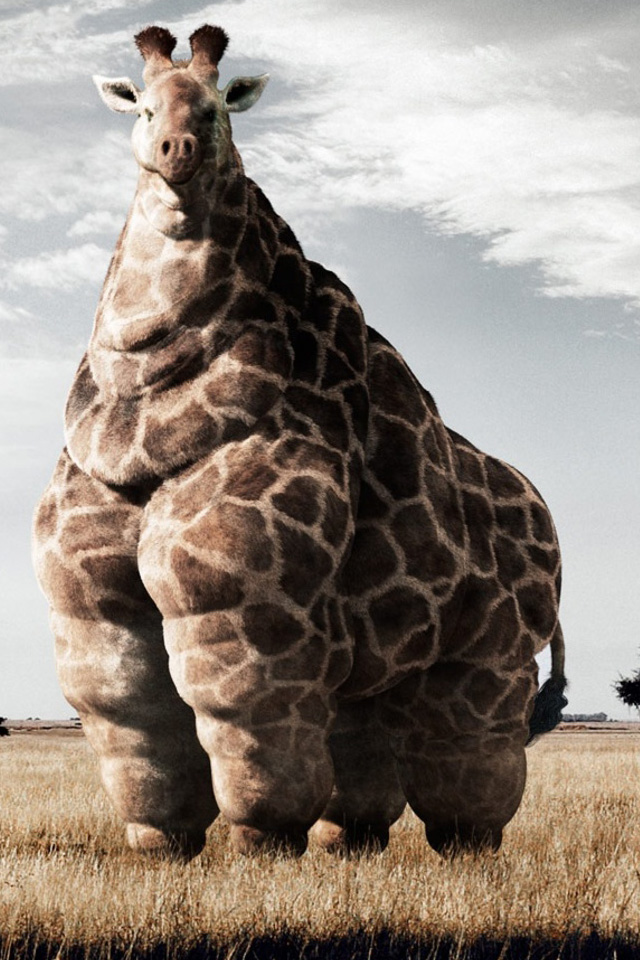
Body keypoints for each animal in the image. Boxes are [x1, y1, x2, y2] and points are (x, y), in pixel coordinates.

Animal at [32, 25, 567, 861]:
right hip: (386, 660)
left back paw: (466, 846)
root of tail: (546, 519)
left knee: (471, 747)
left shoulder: (240, 595)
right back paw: (349, 841)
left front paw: (263, 844)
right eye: (143, 106)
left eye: (218, 108)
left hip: (492, 649)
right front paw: (161, 842)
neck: (142, 407)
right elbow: (130, 708)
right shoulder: (90, 603)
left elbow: (245, 714)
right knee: (366, 741)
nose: (177, 151)